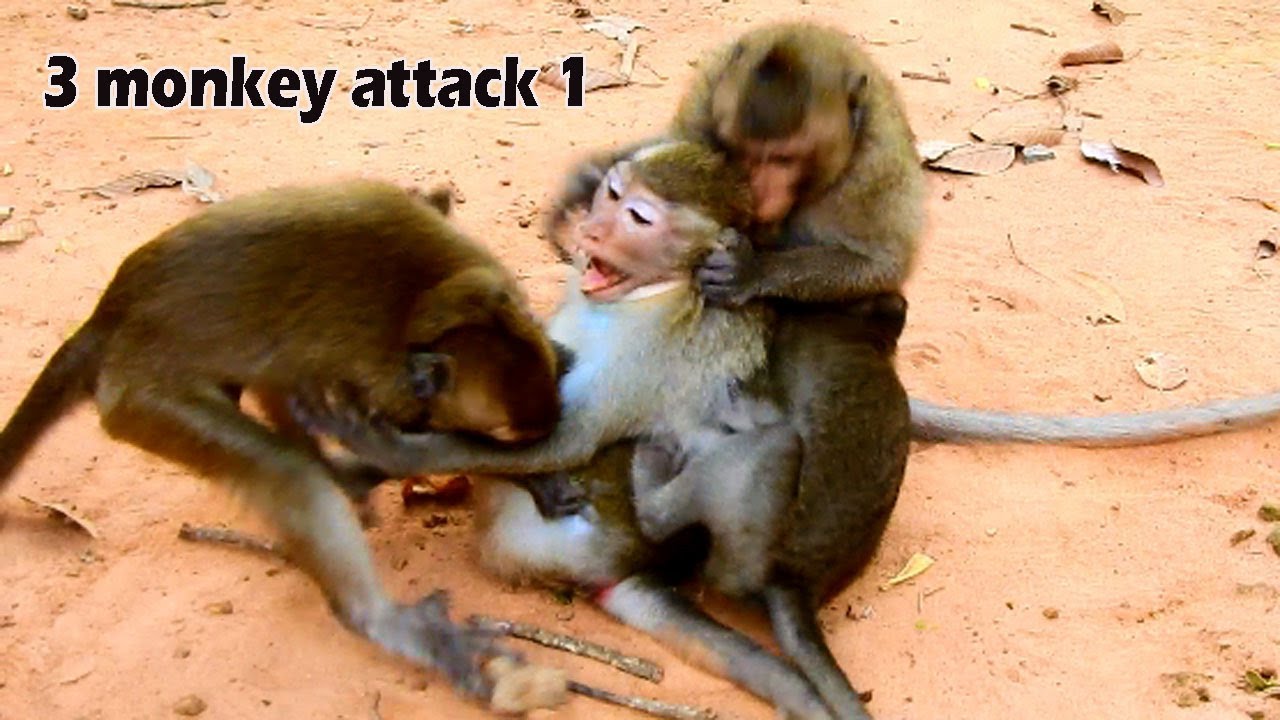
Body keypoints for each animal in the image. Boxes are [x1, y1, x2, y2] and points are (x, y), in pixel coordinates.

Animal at [0, 178, 570, 714]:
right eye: (506, 432)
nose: (542, 430)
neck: (437, 308)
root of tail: (110, 314)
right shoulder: (386, 383)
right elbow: (403, 447)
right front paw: (527, 469)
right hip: (139, 396)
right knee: (283, 468)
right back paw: (377, 615)